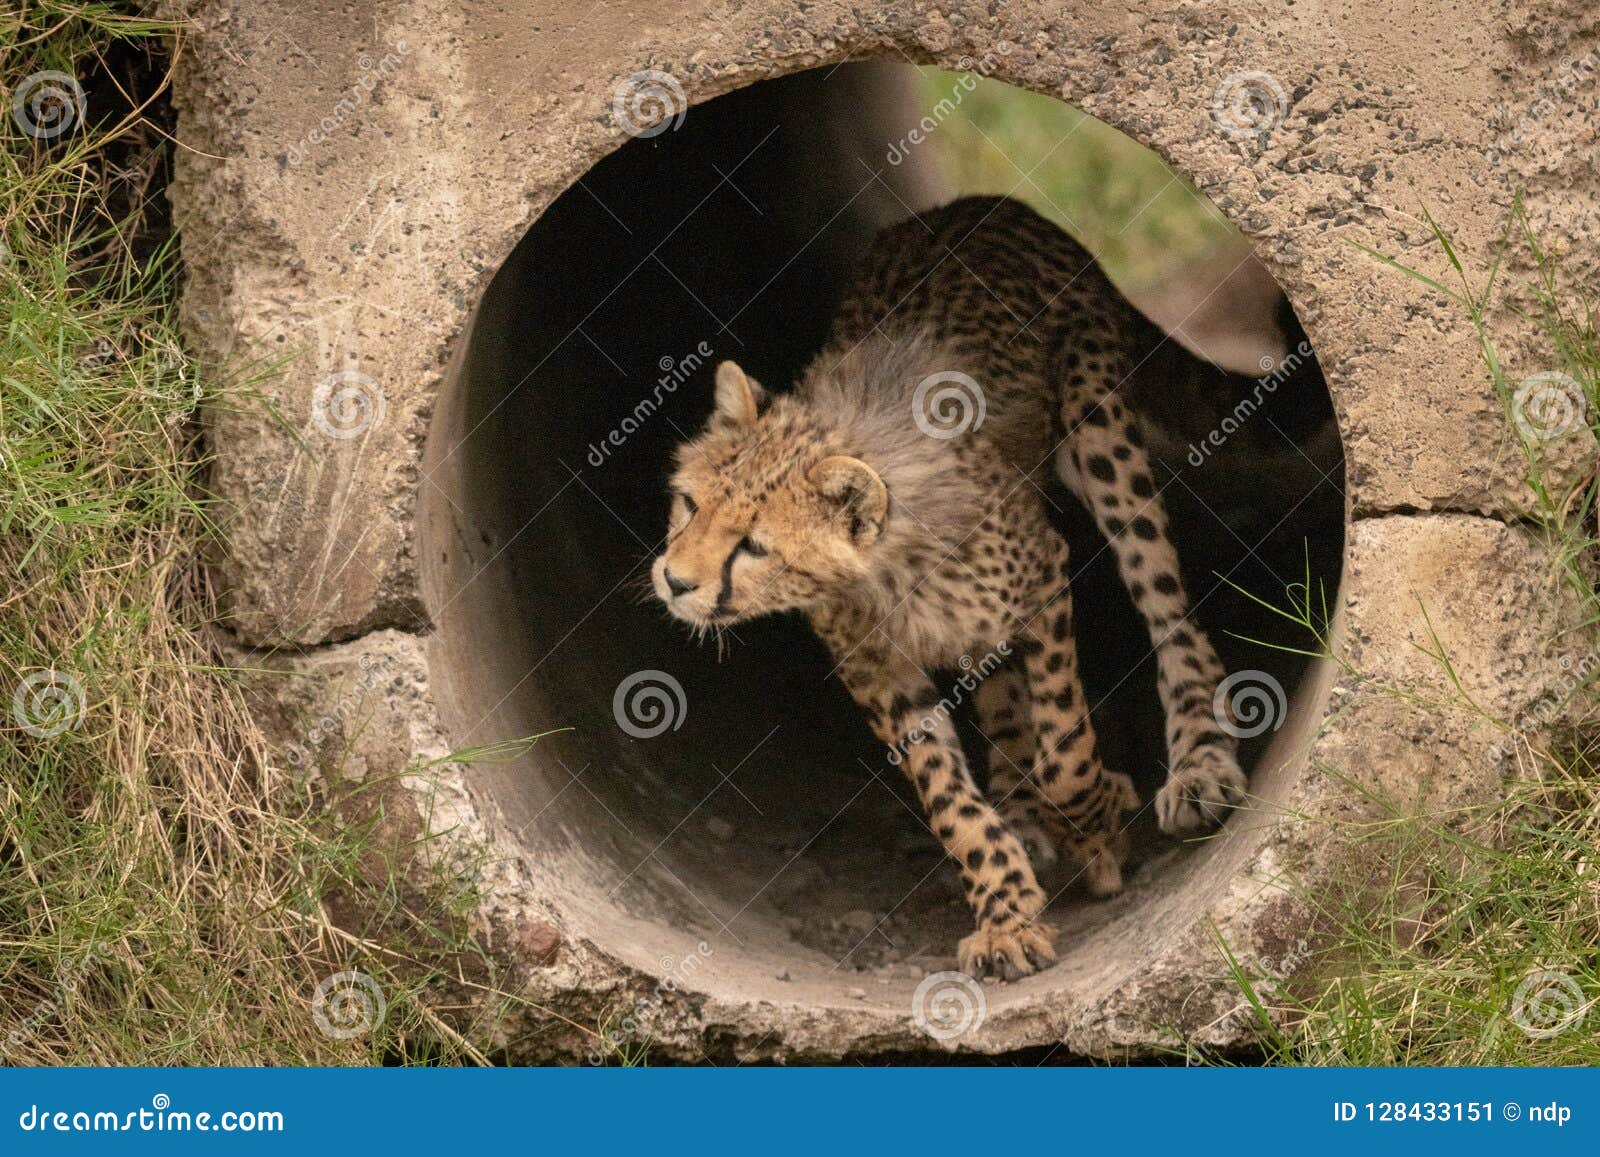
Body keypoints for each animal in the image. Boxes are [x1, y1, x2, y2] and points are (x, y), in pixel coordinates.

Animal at [651, 195, 1248, 979]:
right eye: (689, 504)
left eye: (753, 545)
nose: (674, 580)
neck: (889, 564)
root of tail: (977, 205)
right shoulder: (878, 669)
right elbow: (950, 802)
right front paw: (1006, 912)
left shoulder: (1044, 579)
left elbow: (1067, 748)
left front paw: (1098, 819)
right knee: (1002, 697)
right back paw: (1022, 812)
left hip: (1102, 441)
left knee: (1170, 611)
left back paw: (1197, 762)